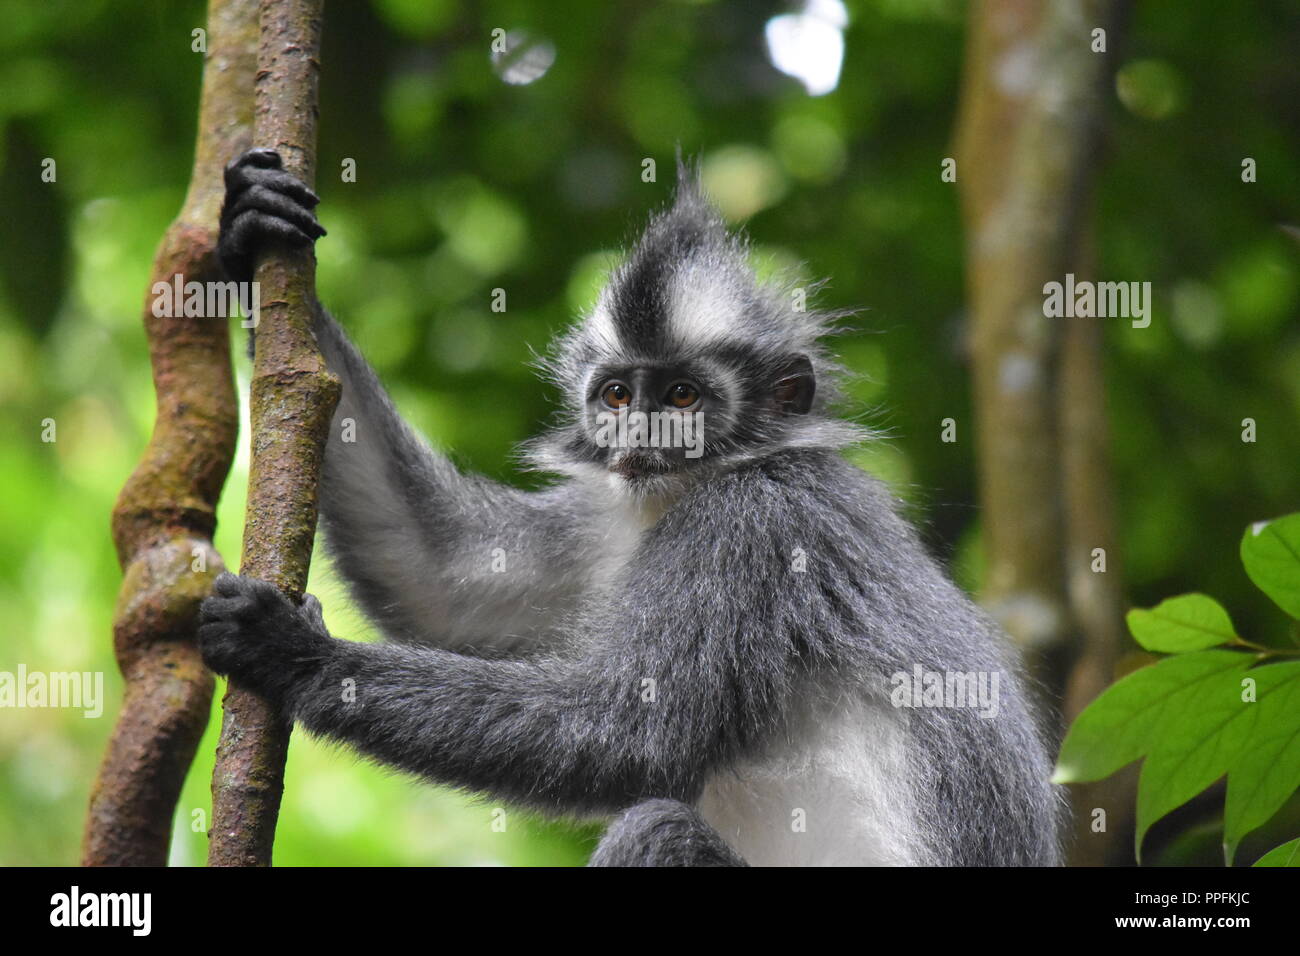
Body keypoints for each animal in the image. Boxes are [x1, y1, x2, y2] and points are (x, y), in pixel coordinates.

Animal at [200, 147, 1064, 867]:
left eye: (682, 396)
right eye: (619, 395)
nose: (641, 435)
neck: (686, 491)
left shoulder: (756, 523)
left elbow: (631, 735)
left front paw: (292, 651)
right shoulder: (606, 516)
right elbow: (441, 578)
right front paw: (249, 229)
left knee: (660, 825)